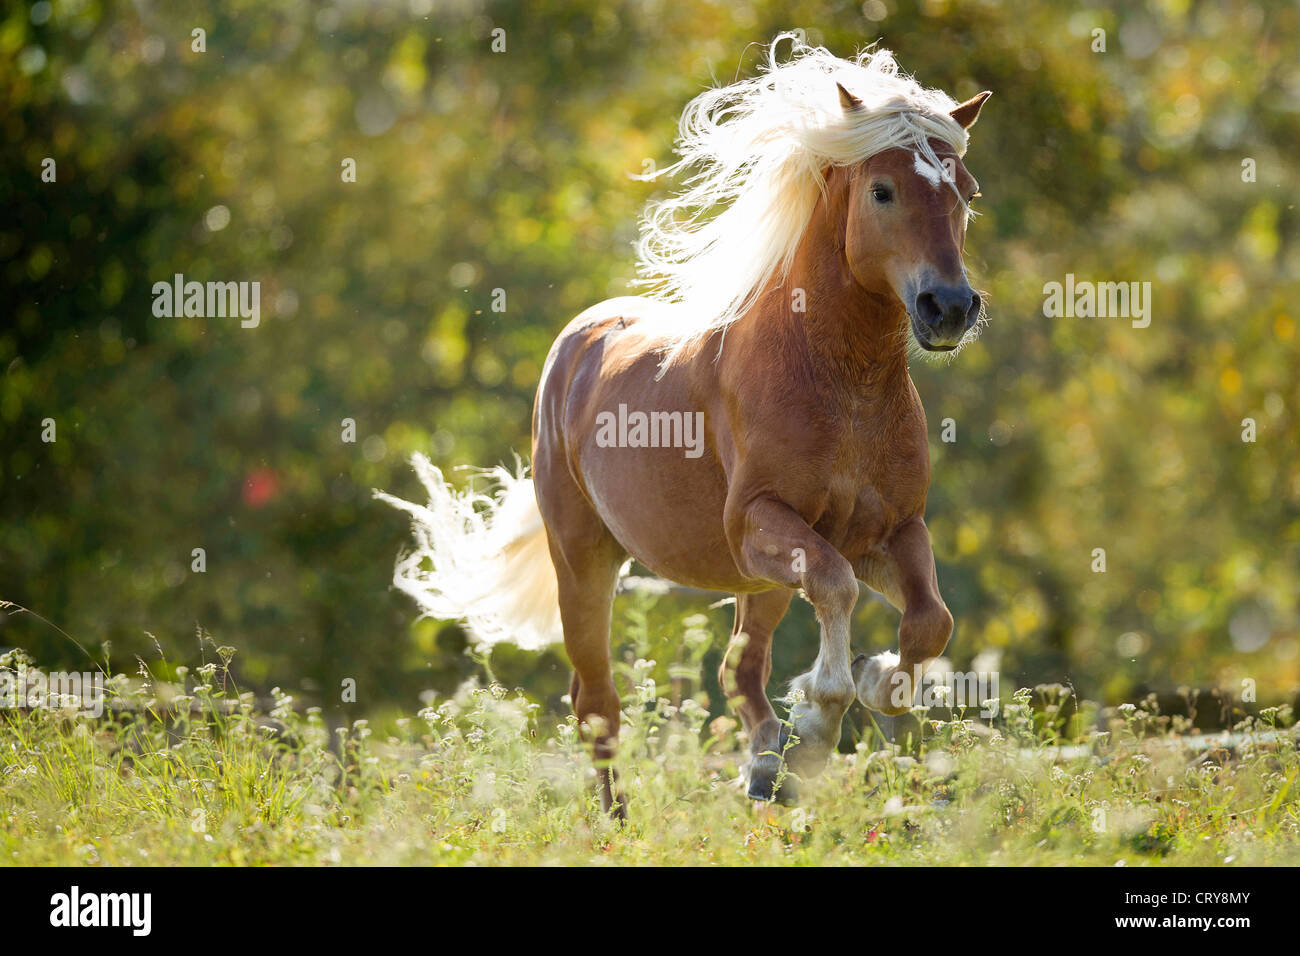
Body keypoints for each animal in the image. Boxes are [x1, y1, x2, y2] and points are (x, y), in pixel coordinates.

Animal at [377, 34, 991, 816]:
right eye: (882, 190)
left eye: (966, 192)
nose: (950, 307)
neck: (839, 383)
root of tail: (577, 340)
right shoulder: (762, 524)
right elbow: (837, 587)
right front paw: (822, 715)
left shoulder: (890, 532)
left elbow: (929, 621)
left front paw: (865, 683)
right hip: (586, 558)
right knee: (596, 700)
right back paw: (624, 818)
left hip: (757, 584)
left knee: (737, 670)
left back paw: (766, 766)